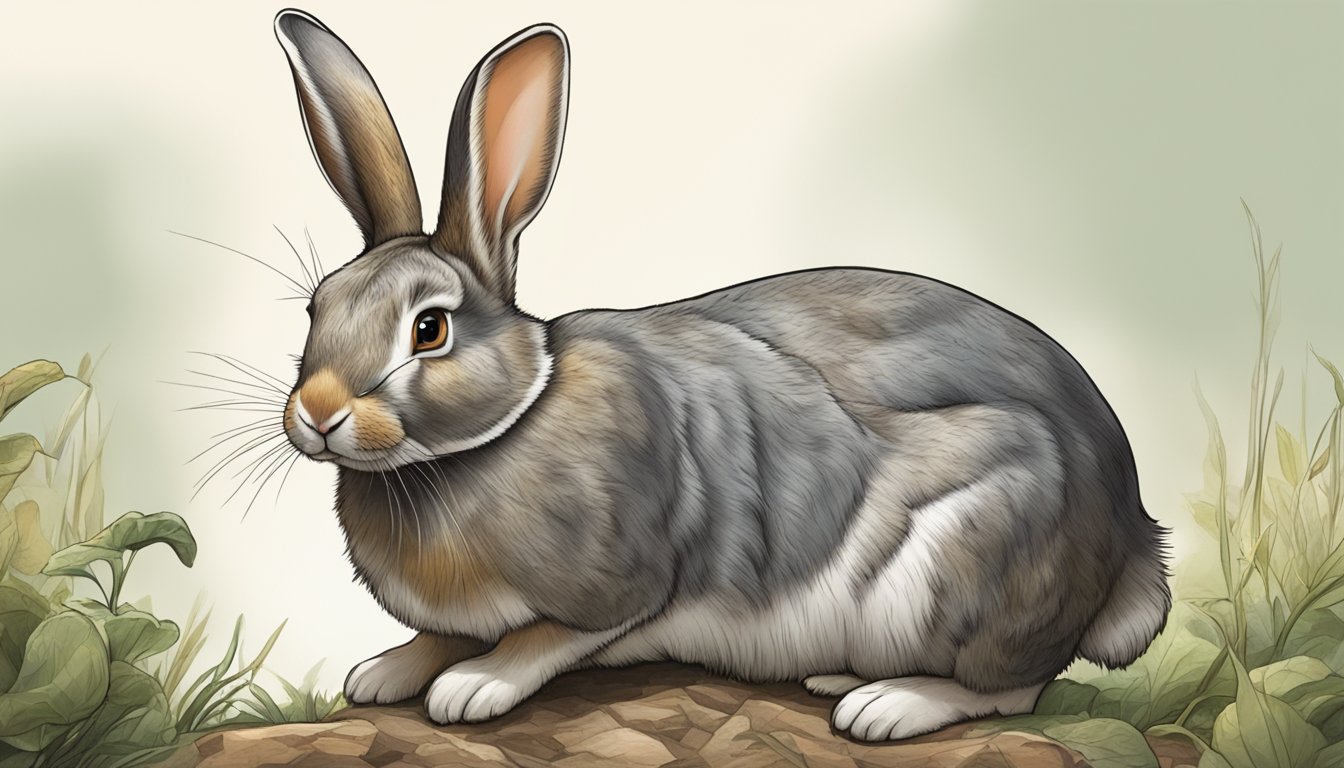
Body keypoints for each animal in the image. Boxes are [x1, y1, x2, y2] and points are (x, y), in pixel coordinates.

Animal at [273, 8, 1171, 741]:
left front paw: (473, 686)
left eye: (429, 329)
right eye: (318, 307)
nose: (317, 414)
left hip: (975, 558)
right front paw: (382, 673)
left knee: (1012, 687)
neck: (497, 429)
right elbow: (438, 633)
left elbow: (548, 635)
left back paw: (888, 704)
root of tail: (1130, 539)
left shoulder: (628, 579)